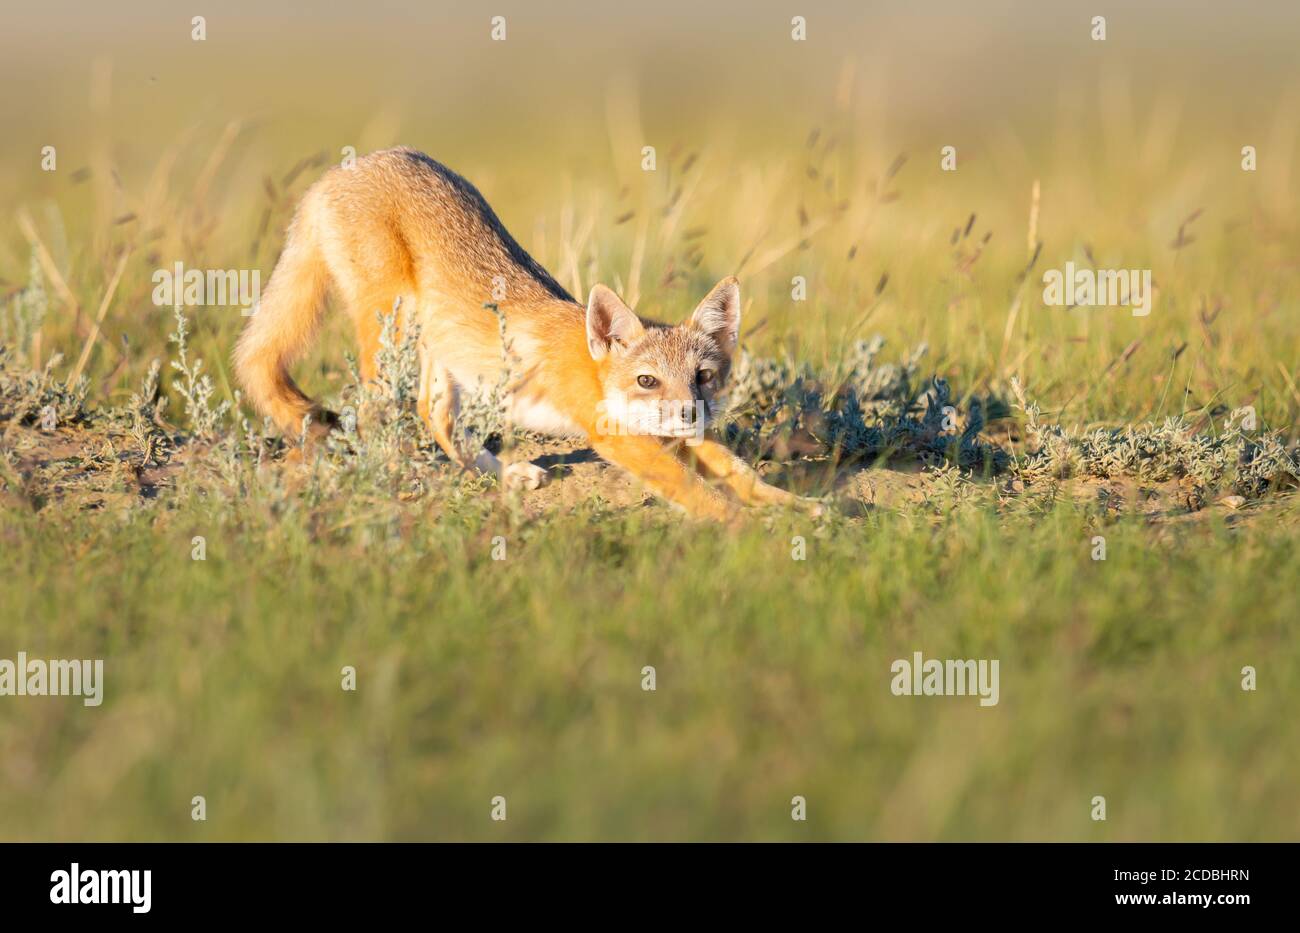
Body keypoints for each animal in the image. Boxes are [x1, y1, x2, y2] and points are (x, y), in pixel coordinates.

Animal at [234, 146, 814, 522]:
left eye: (704, 376)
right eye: (648, 381)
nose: (691, 411)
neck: (593, 370)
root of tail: (341, 171)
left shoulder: (669, 436)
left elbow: (739, 473)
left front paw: (798, 506)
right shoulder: (616, 437)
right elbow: (696, 490)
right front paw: (744, 526)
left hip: (436, 348)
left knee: (433, 413)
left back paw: (503, 473)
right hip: (392, 330)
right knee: (380, 417)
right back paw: (404, 476)